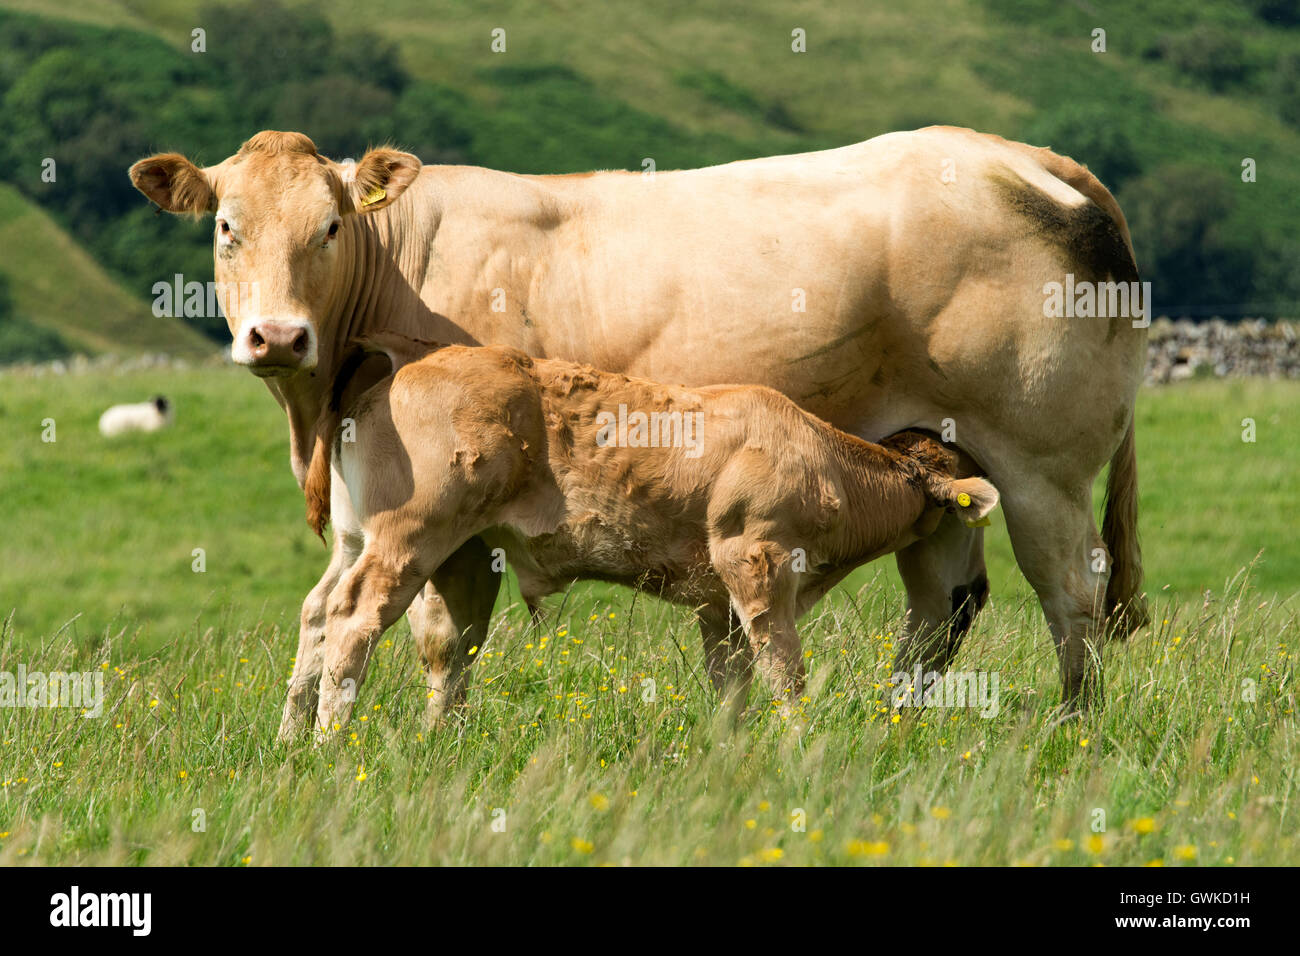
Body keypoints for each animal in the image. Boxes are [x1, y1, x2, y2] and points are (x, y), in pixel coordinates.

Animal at [302, 341, 1002, 732]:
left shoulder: (717, 600)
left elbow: (732, 681)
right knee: (353, 616)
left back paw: (308, 740)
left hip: (411, 547)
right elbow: (784, 670)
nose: (974, 588)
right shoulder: (755, 561)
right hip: (410, 535)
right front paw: (800, 746)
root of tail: (389, 381)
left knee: (355, 623)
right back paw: (331, 742)